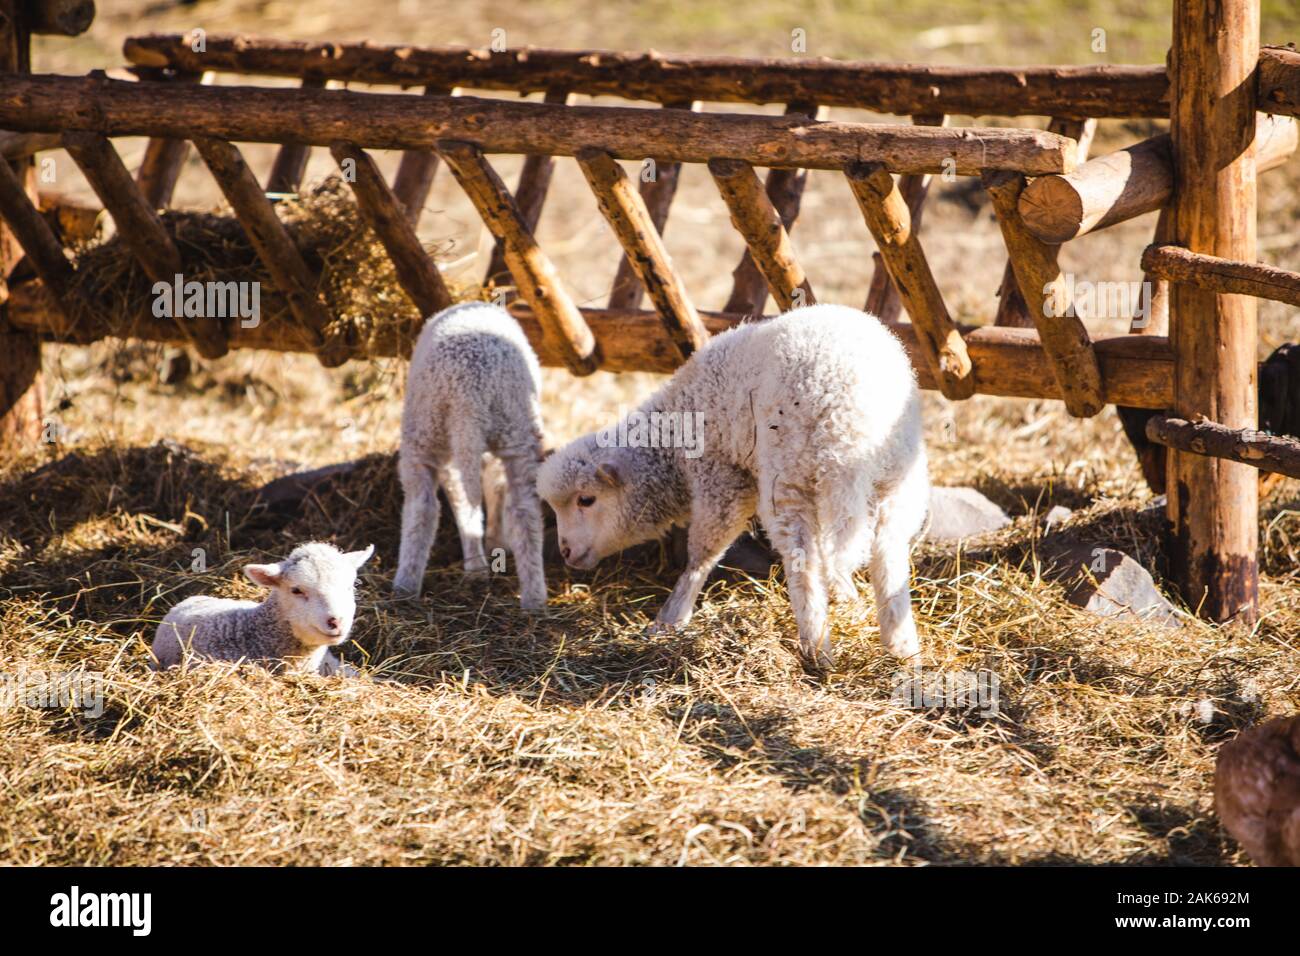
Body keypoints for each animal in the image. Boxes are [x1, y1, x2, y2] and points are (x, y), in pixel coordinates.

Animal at [393, 302, 547, 608]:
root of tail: (469, 390)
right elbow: (481, 495)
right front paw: (490, 546)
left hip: (425, 433)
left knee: (422, 506)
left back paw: (405, 585)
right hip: (513, 429)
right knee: (522, 509)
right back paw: (533, 599)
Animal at [537, 303, 928, 670]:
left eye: (586, 500)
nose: (566, 552)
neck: (672, 440)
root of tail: (852, 421)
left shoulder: (721, 477)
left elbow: (704, 551)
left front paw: (670, 619)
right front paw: (847, 593)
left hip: (790, 476)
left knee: (802, 560)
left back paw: (816, 649)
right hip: (896, 478)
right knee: (887, 552)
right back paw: (902, 648)